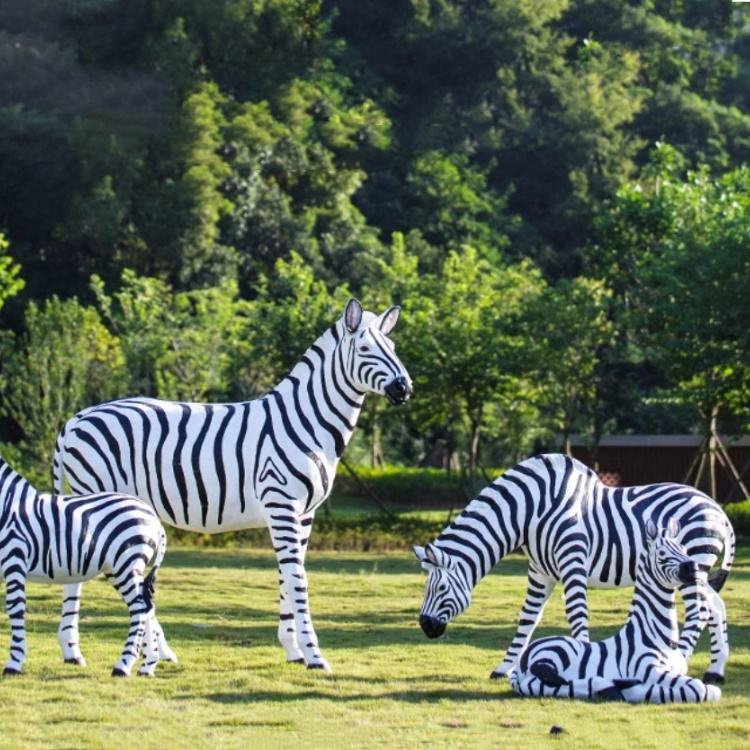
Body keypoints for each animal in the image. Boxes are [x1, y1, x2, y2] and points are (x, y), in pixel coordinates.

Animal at [0, 454, 167, 677]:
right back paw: (147, 665)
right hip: (119, 569)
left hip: (126, 565)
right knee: (147, 606)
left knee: (139, 608)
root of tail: (154, 518)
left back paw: (123, 666)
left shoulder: (14, 558)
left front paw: (14, 663)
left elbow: (15, 607)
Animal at [53, 298, 412, 673]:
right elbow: (298, 579)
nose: (404, 388)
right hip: (101, 496)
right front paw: (315, 656)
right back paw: (107, 650)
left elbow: (288, 575)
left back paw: (96, 651)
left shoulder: (303, 514)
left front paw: (293, 649)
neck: (307, 423)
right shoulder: (282, 505)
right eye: (366, 349)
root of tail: (74, 420)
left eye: (393, 347)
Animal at [415, 453, 734, 683]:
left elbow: (577, 615)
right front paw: (504, 668)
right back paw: (715, 671)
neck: (529, 513)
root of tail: (718, 509)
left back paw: (682, 663)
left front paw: (582, 666)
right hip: (698, 572)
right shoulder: (540, 571)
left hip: (691, 564)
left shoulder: (572, 561)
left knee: (699, 613)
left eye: (440, 587)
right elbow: (528, 618)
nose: (425, 626)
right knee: (716, 607)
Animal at [509, 519, 721, 703]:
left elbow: (711, 690)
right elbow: (700, 688)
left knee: (547, 684)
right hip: (559, 650)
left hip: (540, 677)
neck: (660, 638)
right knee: (551, 676)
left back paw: (614, 687)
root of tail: (520, 663)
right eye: (661, 554)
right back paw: (614, 686)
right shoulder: (648, 668)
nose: (693, 567)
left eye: (684, 549)